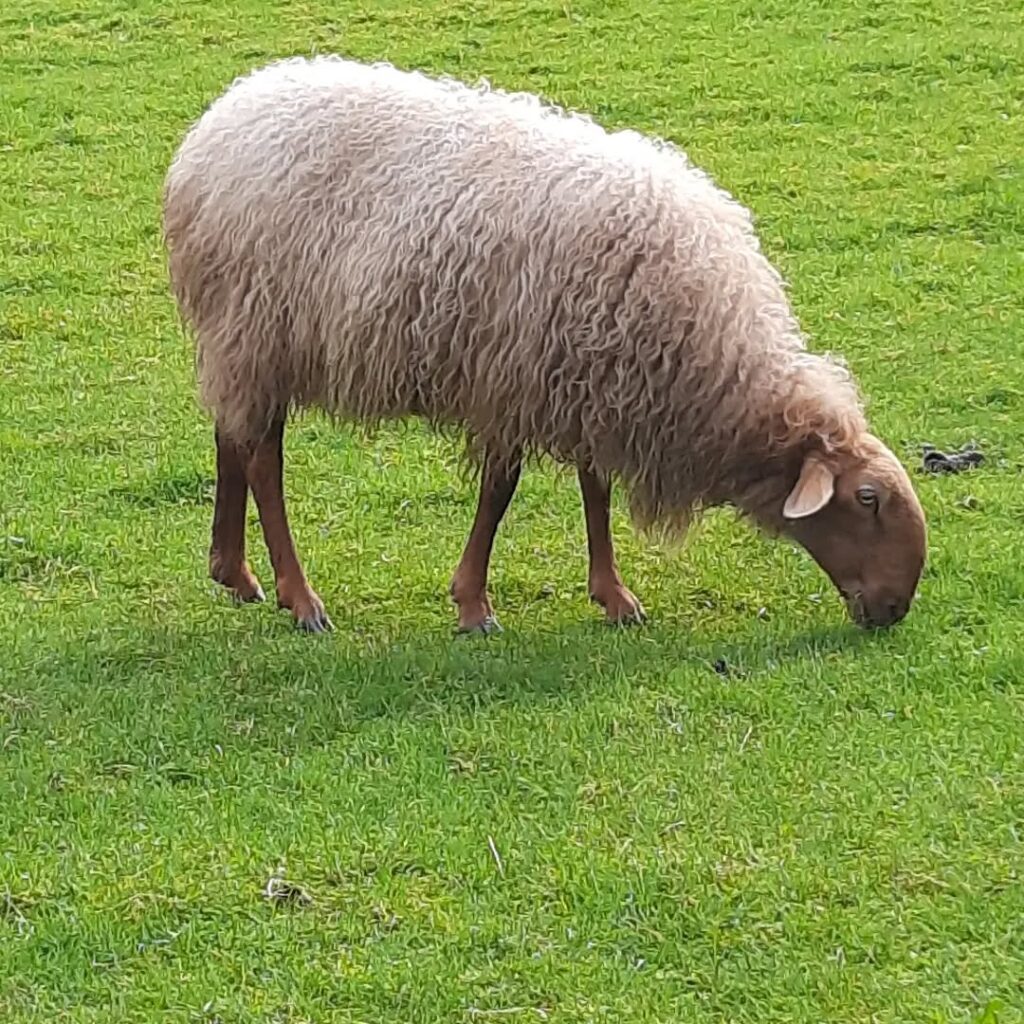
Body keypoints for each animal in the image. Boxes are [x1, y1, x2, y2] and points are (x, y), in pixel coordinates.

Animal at [163, 55, 927, 635]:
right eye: (867, 499)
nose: (895, 607)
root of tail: (219, 123)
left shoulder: (591, 375)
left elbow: (596, 487)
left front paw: (613, 595)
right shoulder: (514, 377)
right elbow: (501, 492)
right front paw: (474, 604)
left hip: (245, 339)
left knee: (234, 437)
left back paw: (235, 572)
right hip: (260, 324)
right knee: (264, 460)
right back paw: (301, 598)